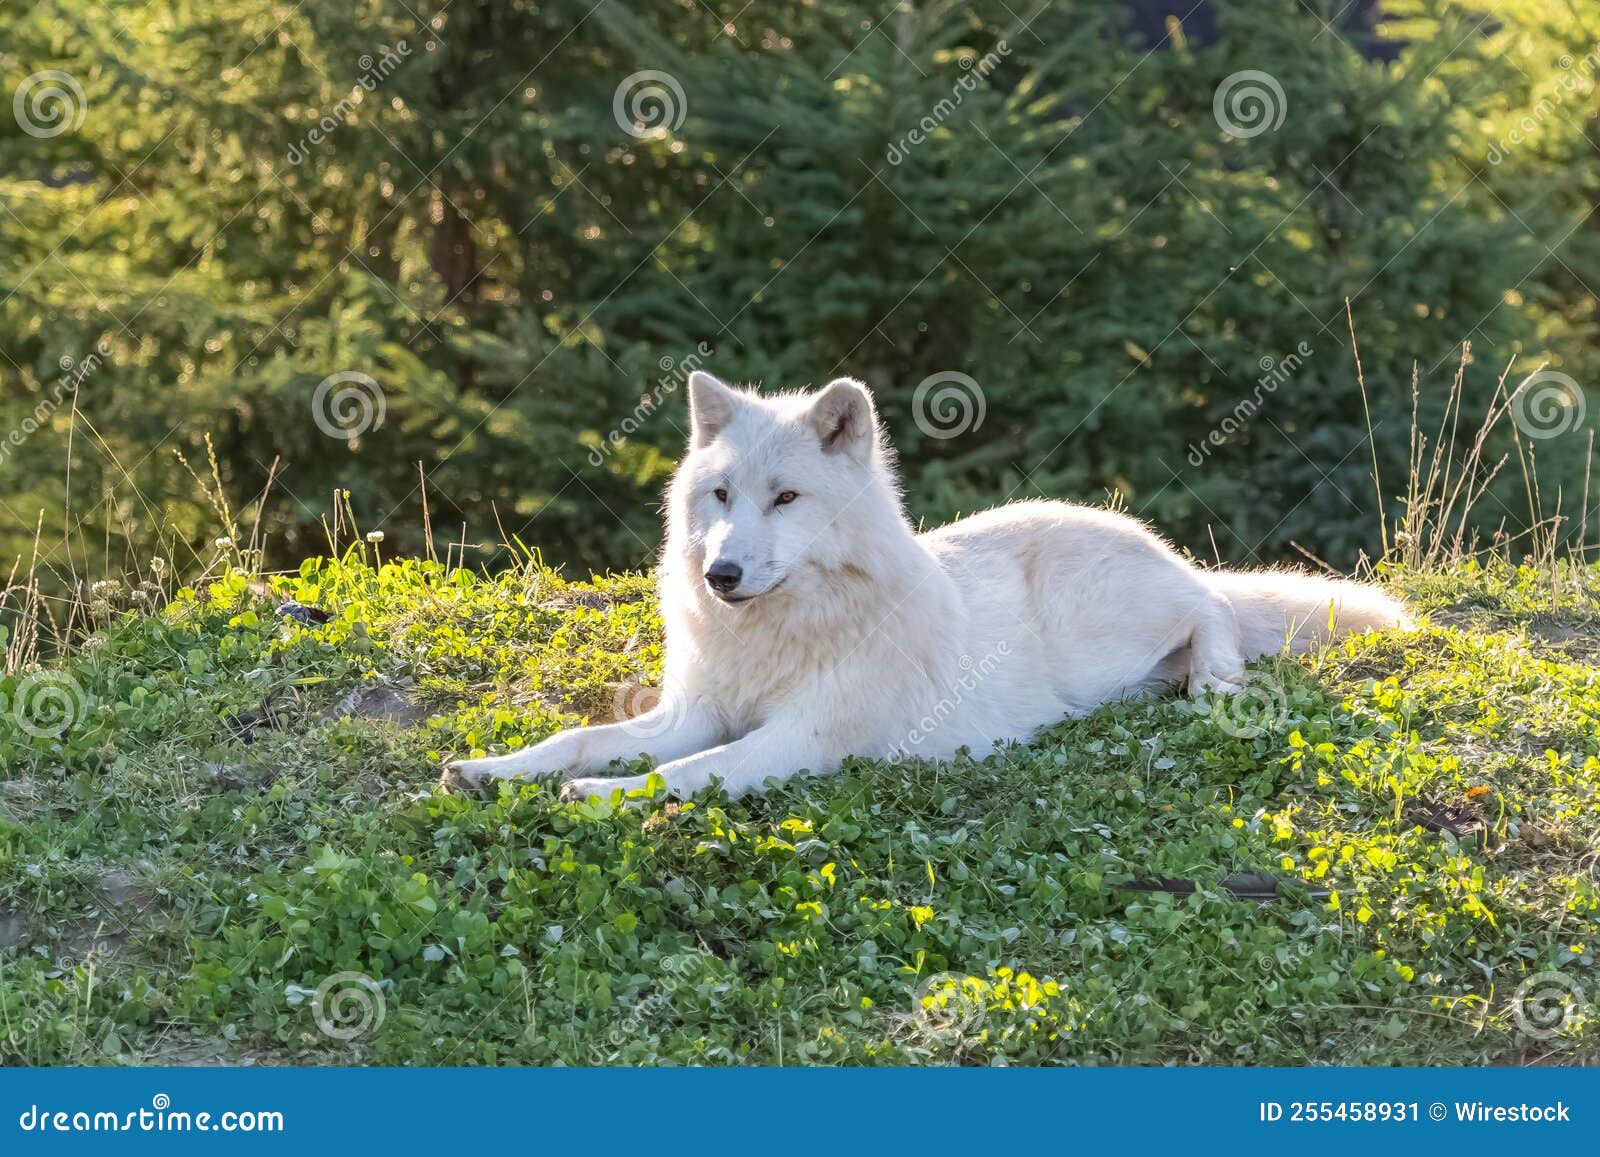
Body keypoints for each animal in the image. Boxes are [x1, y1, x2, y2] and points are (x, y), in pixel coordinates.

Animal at [450, 372, 1411, 800]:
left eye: (785, 498)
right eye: (719, 495)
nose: (721, 573)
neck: (786, 628)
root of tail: (1143, 534)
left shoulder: (797, 739)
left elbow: (689, 773)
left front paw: (595, 799)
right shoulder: (693, 712)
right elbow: (579, 737)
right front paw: (493, 768)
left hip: (1105, 630)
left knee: (1213, 608)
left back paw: (1214, 678)